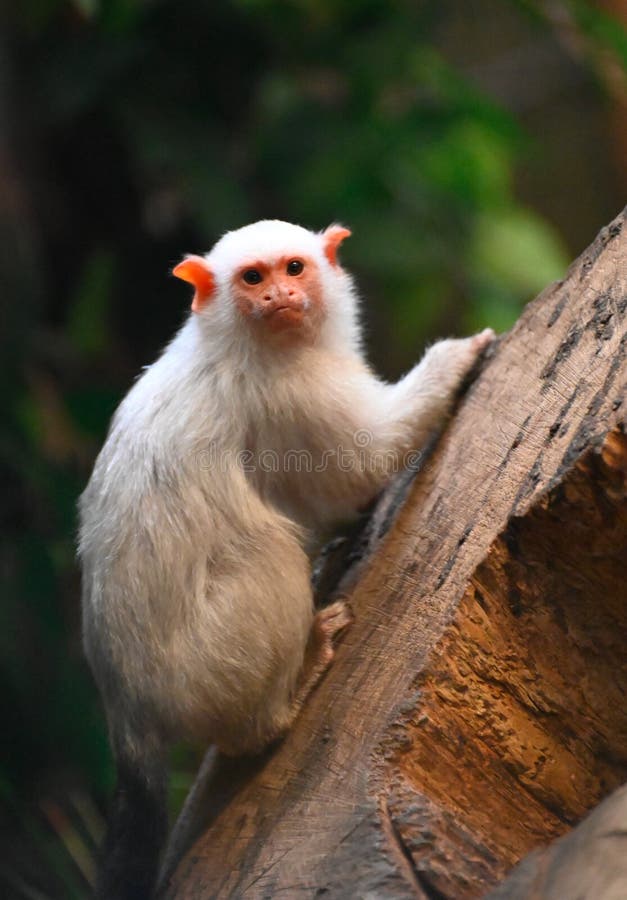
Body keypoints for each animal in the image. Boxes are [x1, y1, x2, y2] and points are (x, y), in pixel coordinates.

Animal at [78, 220, 494, 898]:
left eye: (294, 268)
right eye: (253, 279)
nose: (279, 297)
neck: (249, 342)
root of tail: (129, 713)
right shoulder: (293, 392)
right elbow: (364, 466)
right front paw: (457, 358)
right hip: (208, 665)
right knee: (267, 553)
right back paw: (285, 697)